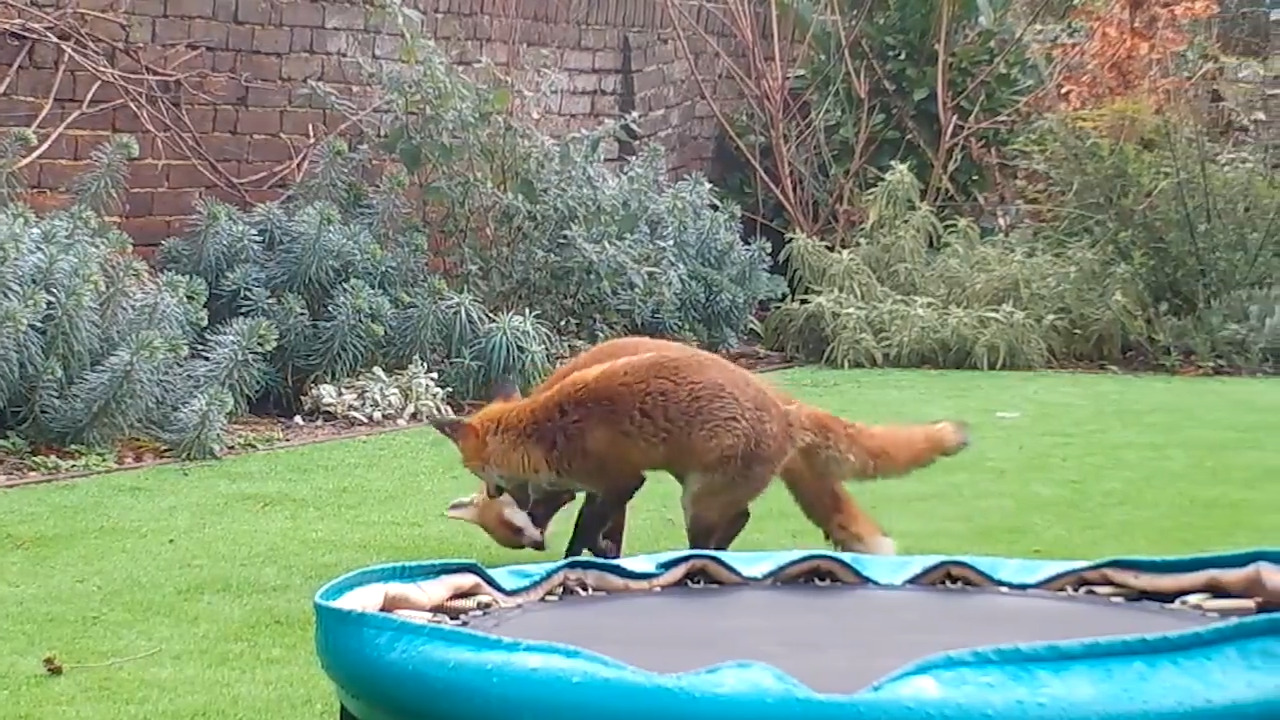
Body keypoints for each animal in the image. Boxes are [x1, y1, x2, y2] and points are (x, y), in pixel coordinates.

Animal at [439, 336, 971, 557]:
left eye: (480, 473)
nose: (535, 543)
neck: (545, 427)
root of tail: (783, 408)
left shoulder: (618, 480)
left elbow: (585, 535)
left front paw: (574, 562)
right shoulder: (598, 489)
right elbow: (599, 533)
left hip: (697, 498)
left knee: (733, 522)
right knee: (744, 517)